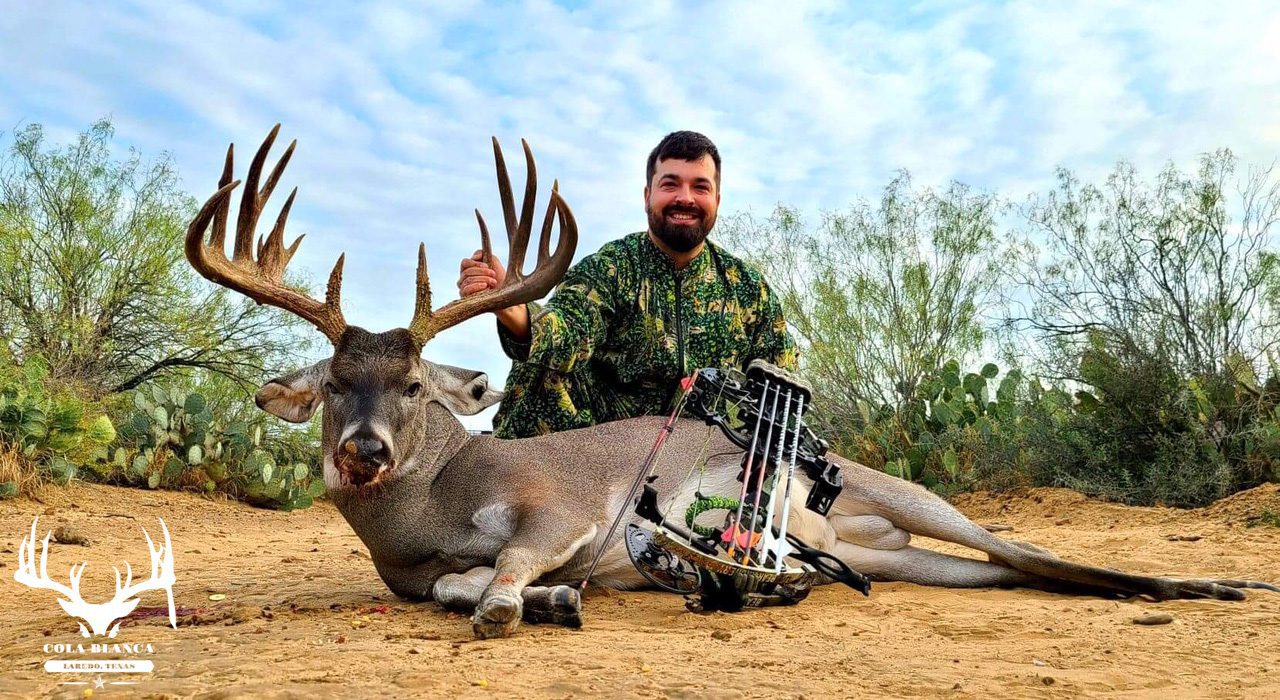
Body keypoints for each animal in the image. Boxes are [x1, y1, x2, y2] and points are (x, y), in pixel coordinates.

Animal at [184, 126, 1278, 640]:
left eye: (412, 385)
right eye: (336, 382)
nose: (363, 451)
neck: (433, 509)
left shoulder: (557, 503)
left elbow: (502, 571)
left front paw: (526, 602)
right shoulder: (419, 573)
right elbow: (456, 585)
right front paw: (551, 600)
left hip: (896, 489)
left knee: (1022, 543)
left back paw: (1209, 582)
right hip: (881, 553)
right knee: (1008, 571)